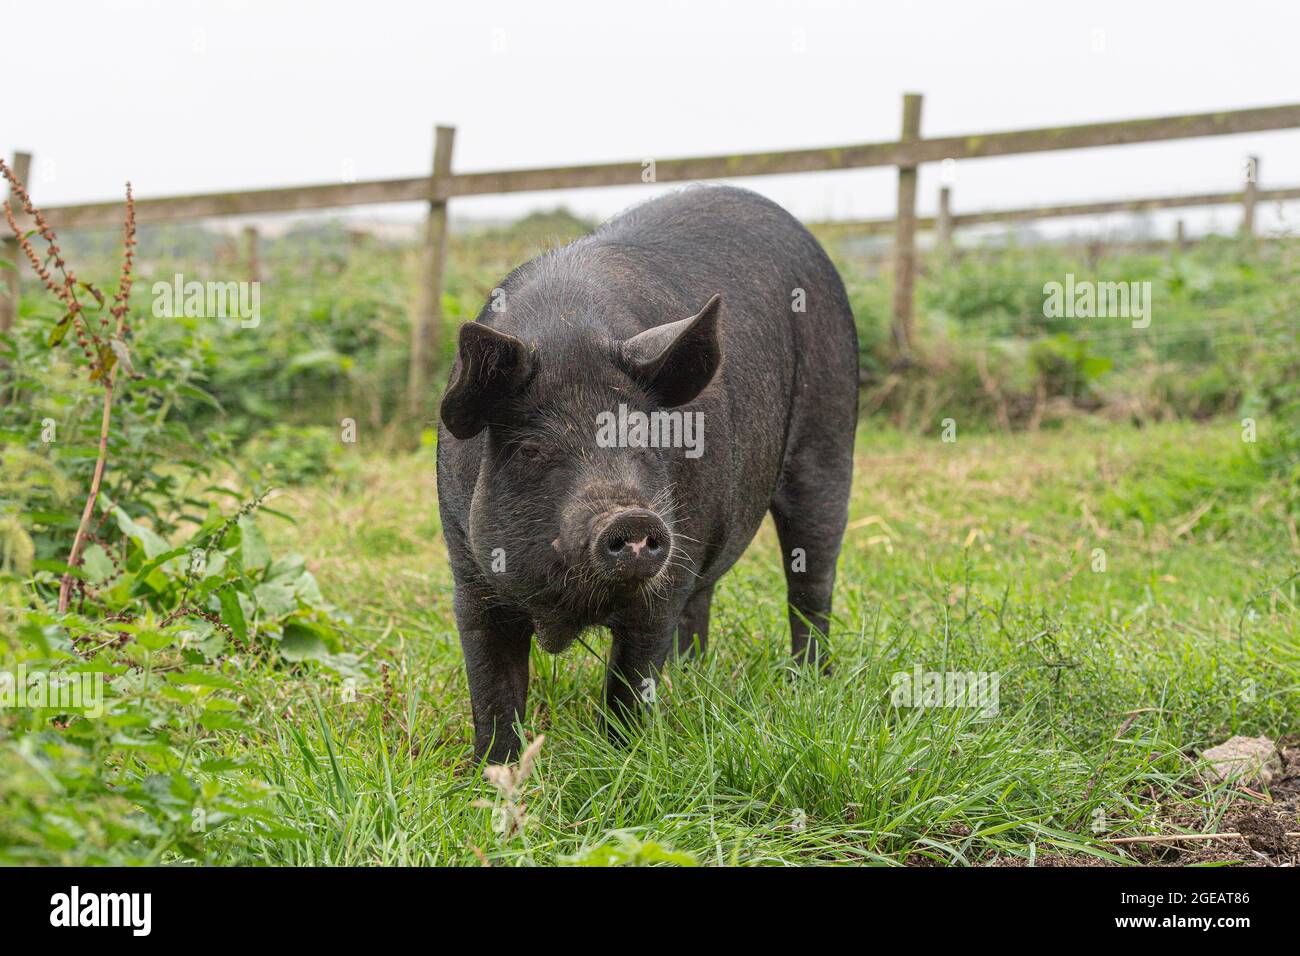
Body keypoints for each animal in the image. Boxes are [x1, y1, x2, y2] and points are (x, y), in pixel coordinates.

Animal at [436, 184, 858, 763]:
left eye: (645, 437)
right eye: (532, 449)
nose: (630, 516)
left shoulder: (664, 579)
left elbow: (631, 679)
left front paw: (622, 757)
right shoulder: (468, 568)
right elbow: (491, 686)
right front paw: (494, 771)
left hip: (828, 438)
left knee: (812, 578)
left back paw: (809, 684)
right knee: (704, 602)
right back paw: (692, 680)